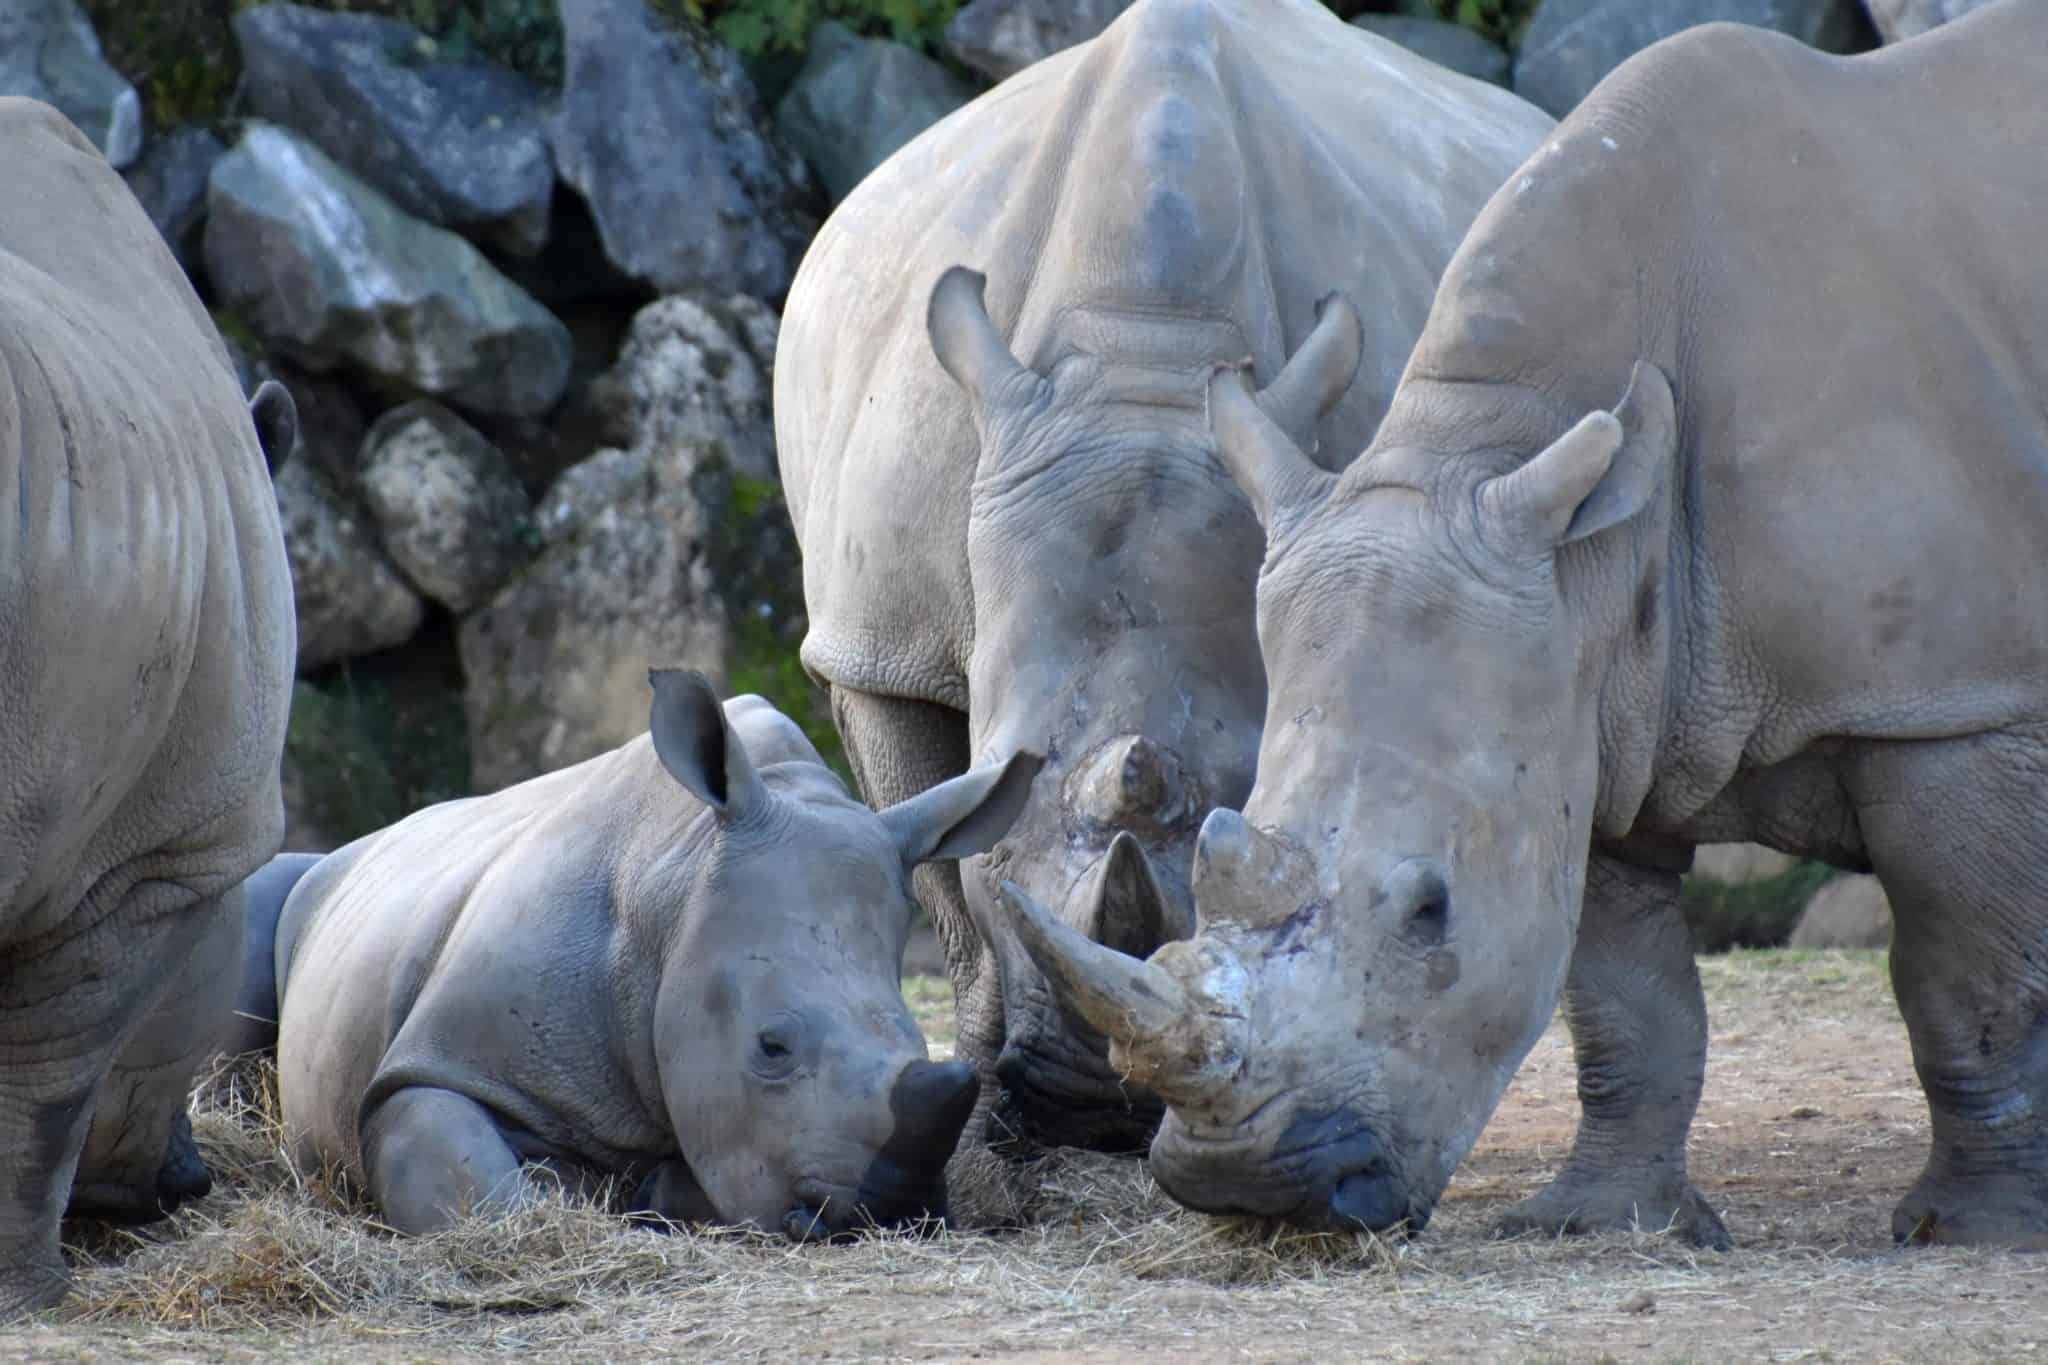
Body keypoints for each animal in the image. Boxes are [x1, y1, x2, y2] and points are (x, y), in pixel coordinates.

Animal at [260, 671, 1039, 1238]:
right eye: (772, 1046)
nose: (894, 1209)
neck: (676, 887)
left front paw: (640, 1188)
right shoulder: (433, 1064)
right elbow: (477, 1183)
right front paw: (569, 1192)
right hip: (309, 890)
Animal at [776, 0, 1553, 1156]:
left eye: (1241, 805)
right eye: (1001, 845)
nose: (1095, 1110)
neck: (1141, 358)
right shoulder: (880, 643)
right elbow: (939, 878)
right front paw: (983, 1122)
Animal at [1004, 2, 2048, 1247]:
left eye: (1427, 910)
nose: (1244, 1184)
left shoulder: (1948, 708)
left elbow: (1960, 978)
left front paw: (1972, 1228)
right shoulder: (1587, 708)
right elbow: (1622, 996)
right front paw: (1600, 1224)